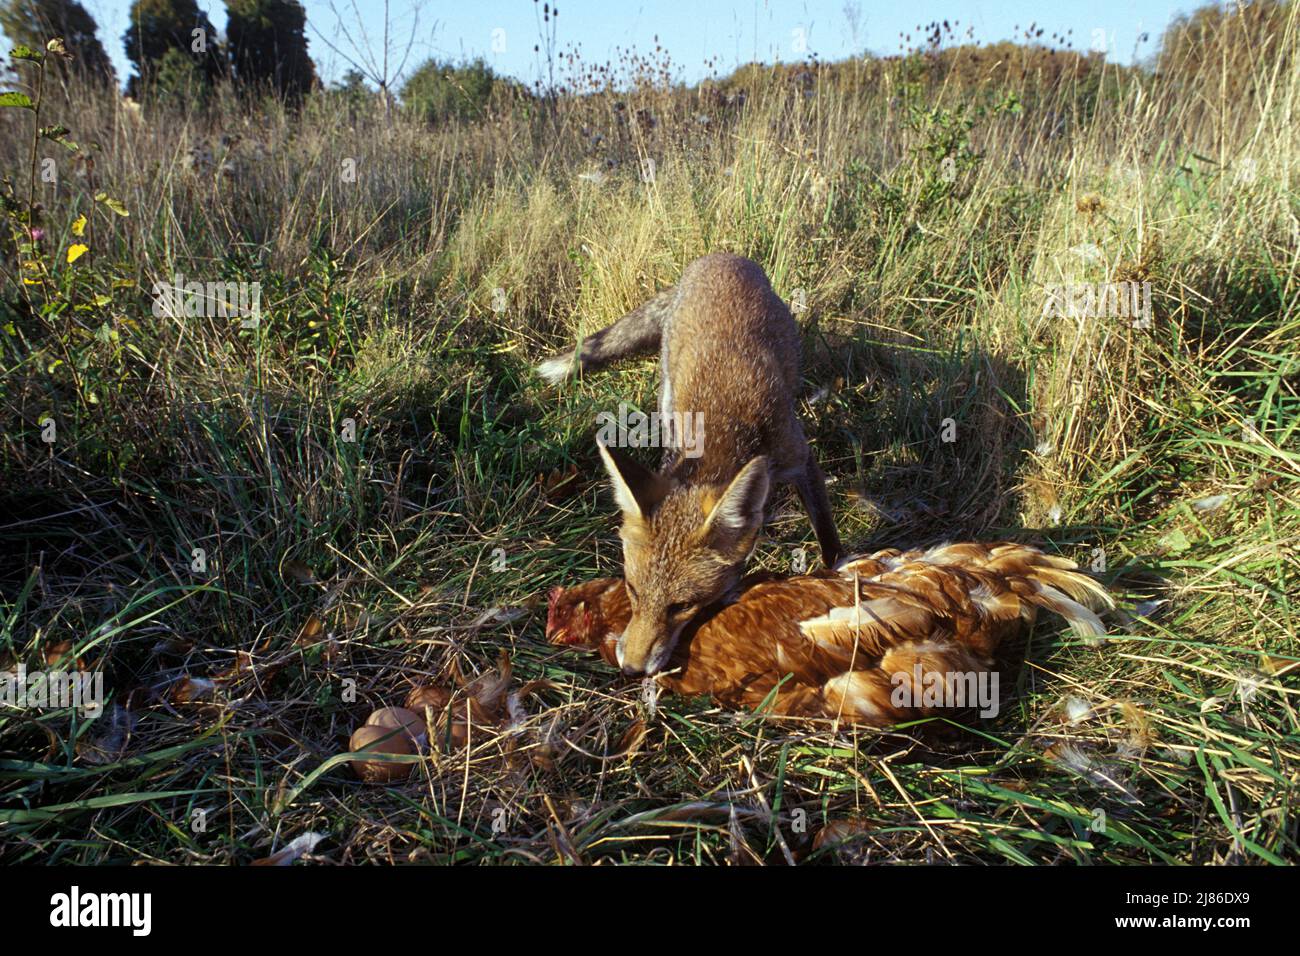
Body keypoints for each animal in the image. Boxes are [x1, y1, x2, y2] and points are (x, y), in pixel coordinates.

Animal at [537, 252, 841, 676]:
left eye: (681, 606)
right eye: (632, 590)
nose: (631, 669)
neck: (721, 428)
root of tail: (719, 257)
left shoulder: (799, 458)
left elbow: (827, 533)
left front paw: (839, 576)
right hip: (667, 389)